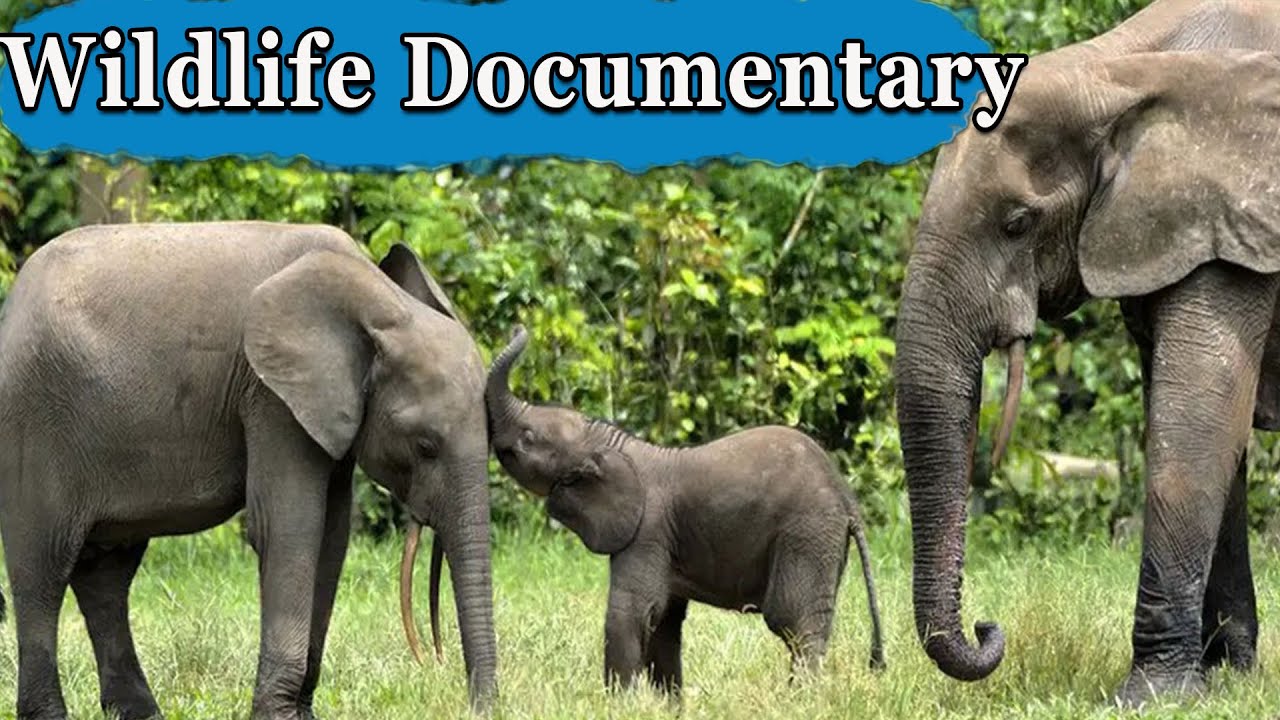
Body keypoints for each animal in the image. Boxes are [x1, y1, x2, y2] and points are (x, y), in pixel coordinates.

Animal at [0, 223, 496, 719]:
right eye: (425, 446)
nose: (475, 703)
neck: (380, 300)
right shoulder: (269, 397)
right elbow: (289, 528)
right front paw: (277, 714)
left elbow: (332, 536)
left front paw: (301, 713)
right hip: (33, 423)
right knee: (44, 567)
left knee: (106, 574)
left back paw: (140, 712)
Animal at [485, 326, 885, 692]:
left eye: (528, 437)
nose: (521, 327)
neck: (612, 444)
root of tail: (847, 498)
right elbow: (664, 623)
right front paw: (668, 706)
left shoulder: (646, 531)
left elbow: (630, 614)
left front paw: (620, 705)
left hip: (805, 534)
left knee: (794, 623)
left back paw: (800, 698)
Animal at [895, 0, 1280, 706]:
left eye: (1017, 223)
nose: (988, 626)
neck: (1113, 70)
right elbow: (1210, 429)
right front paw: (1226, 683)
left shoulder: (1238, 199)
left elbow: (1197, 418)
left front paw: (1151, 698)